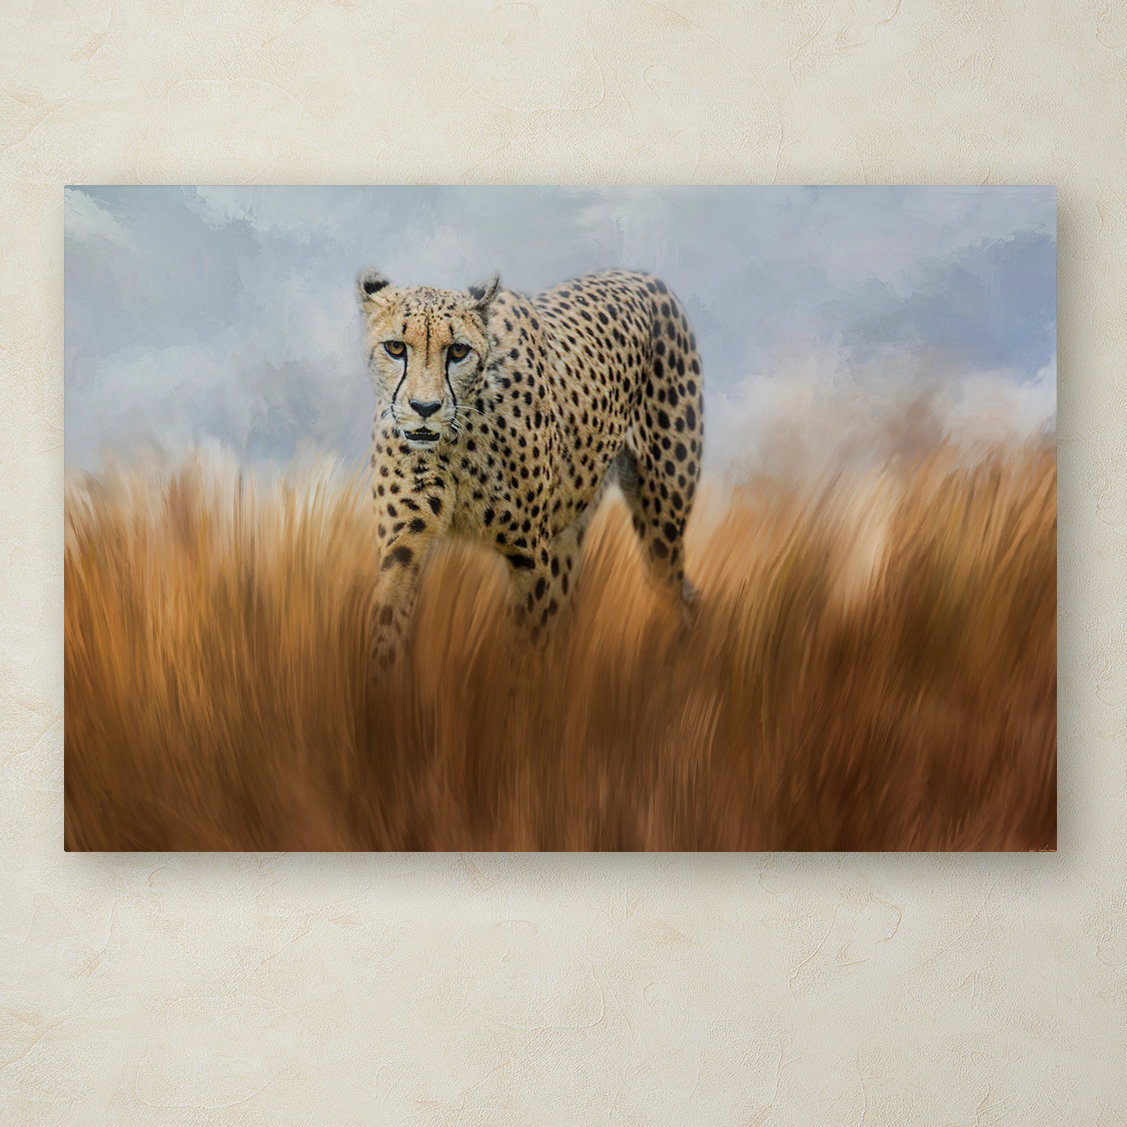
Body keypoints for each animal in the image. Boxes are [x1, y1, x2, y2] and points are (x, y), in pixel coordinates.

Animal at [357, 266, 704, 669]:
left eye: (458, 350)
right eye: (396, 347)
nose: (424, 408)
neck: (455, 442)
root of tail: (641, 275)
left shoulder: (529, 556)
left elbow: (525, 649)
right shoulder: (403, 548)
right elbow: (386, 634)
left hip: (662, 521)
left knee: (675, 601)